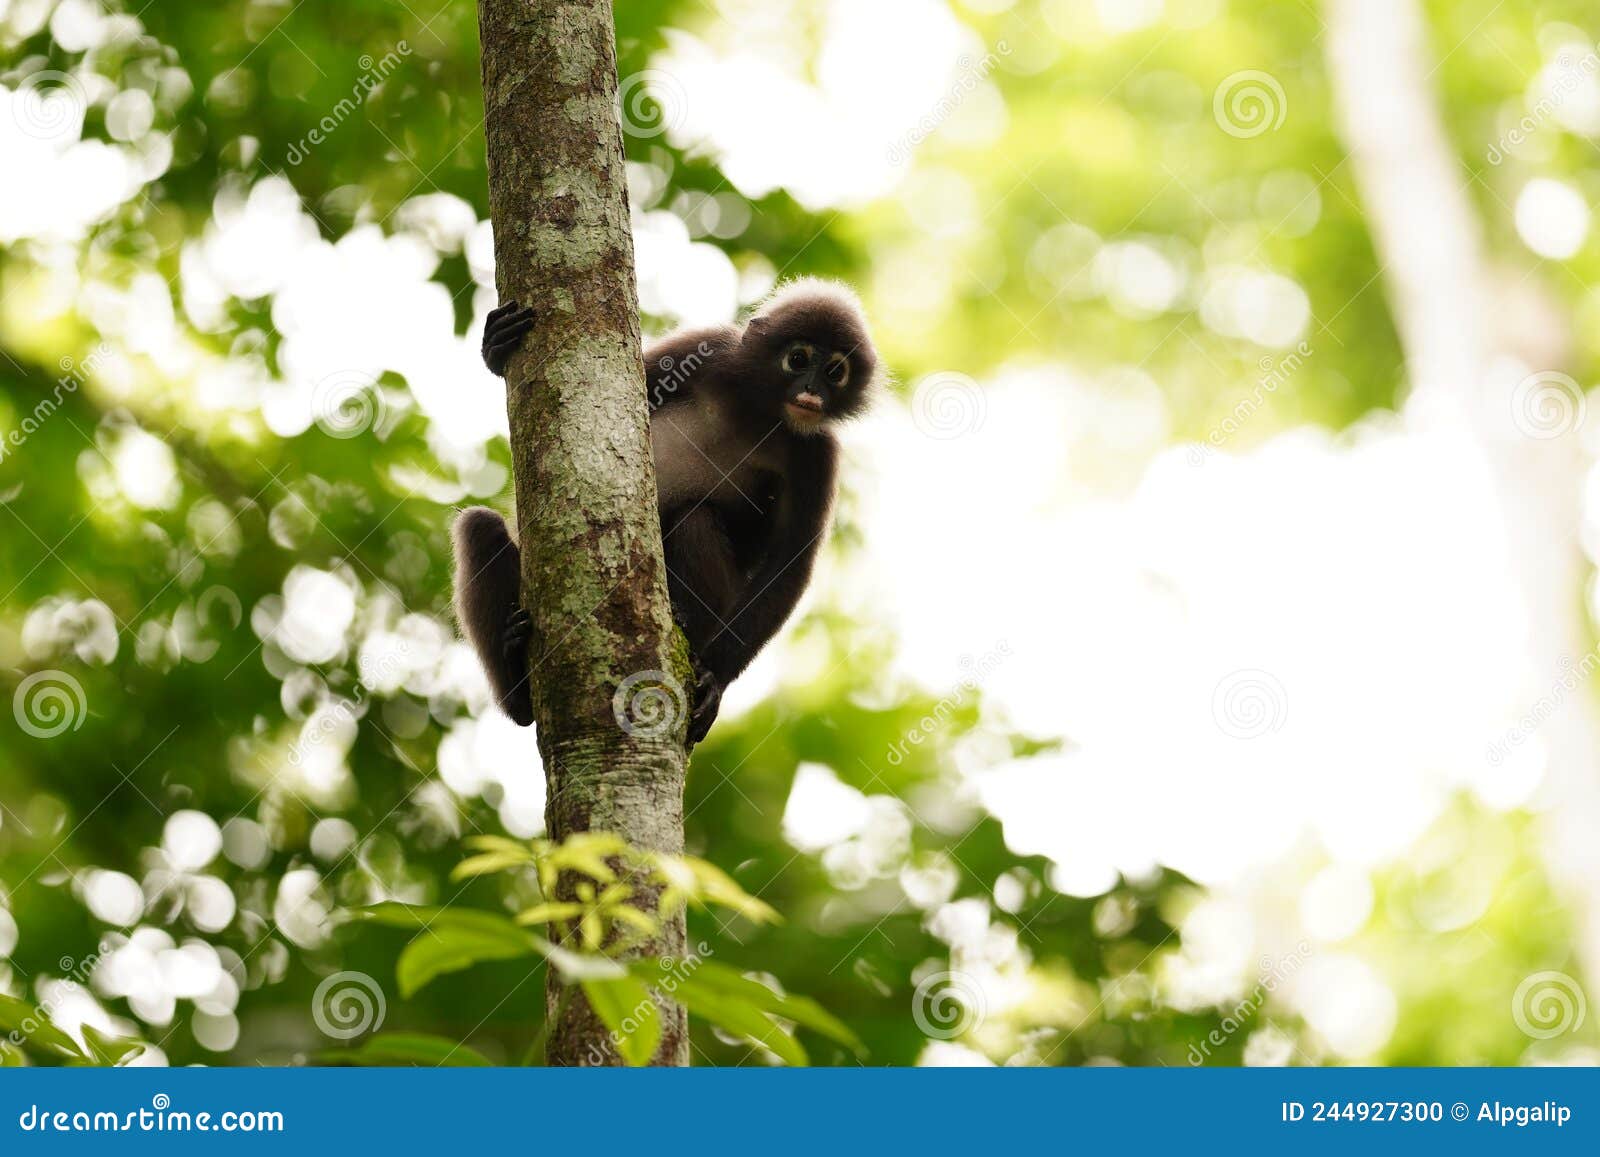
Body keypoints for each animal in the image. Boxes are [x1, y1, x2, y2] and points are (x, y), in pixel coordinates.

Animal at [453, 278, 877, 745]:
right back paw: (516, 682)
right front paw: (495, 348)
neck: (758, 412)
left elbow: (789, 562)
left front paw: (714, 681)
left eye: (834, 371)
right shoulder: (706, 349)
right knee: (479, 525)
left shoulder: (817, 455)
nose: (811, 391)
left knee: (697, 519)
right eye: (798, 359)